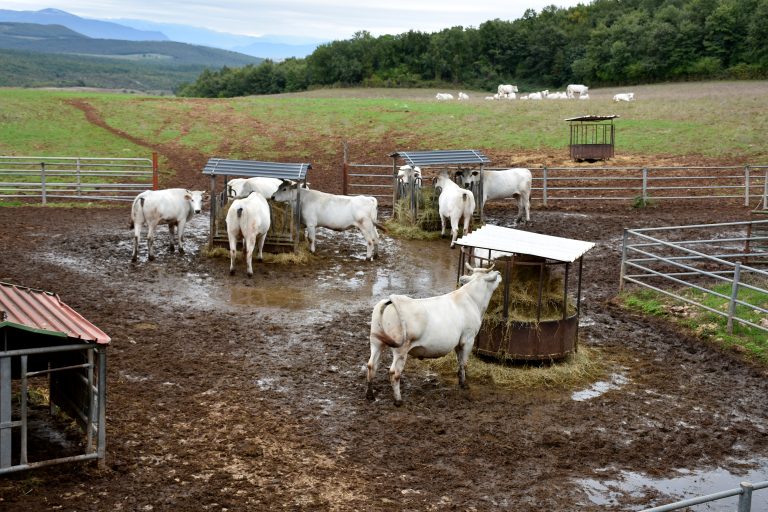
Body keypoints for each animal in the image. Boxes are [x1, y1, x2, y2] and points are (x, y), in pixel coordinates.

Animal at [366, 263, 502, 406]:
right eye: (492, 274)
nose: (499, 273)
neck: (472, 299)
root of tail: (392, 299)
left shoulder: (458, 342)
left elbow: (459, 362)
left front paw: (460, 381)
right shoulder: (468, 338)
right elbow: (464, 363)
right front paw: (465, 385)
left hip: (376, 342)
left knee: (371, 365)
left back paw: (370, 395)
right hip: (401, 349)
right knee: (394, 373)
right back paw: (398, 400)